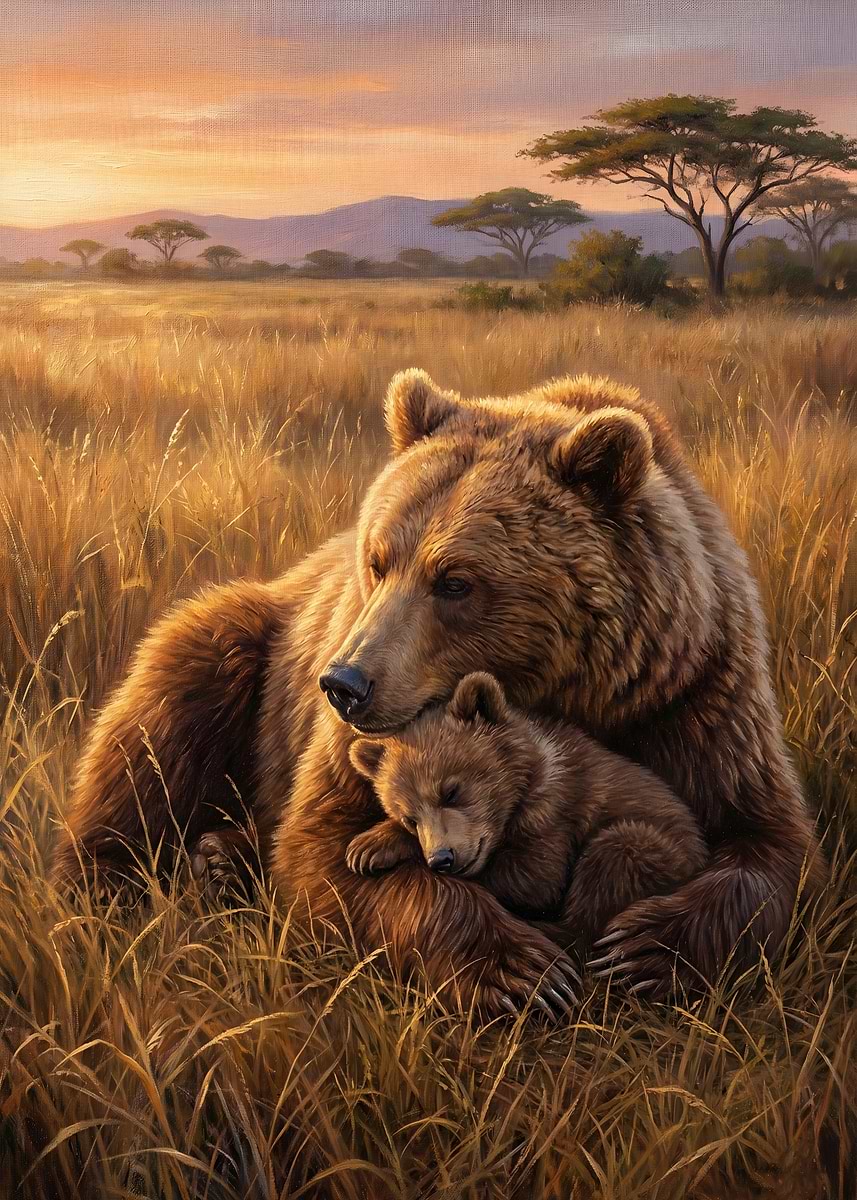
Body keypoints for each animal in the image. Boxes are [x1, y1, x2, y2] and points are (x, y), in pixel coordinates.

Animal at [345, 672, 708, 973]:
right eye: (410, 817)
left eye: (451, 792)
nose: (442, 859)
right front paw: (367, 848)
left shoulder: (555, 812)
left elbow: (535, 880)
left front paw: (370, 846)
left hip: (655, 846)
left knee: (612, 863)